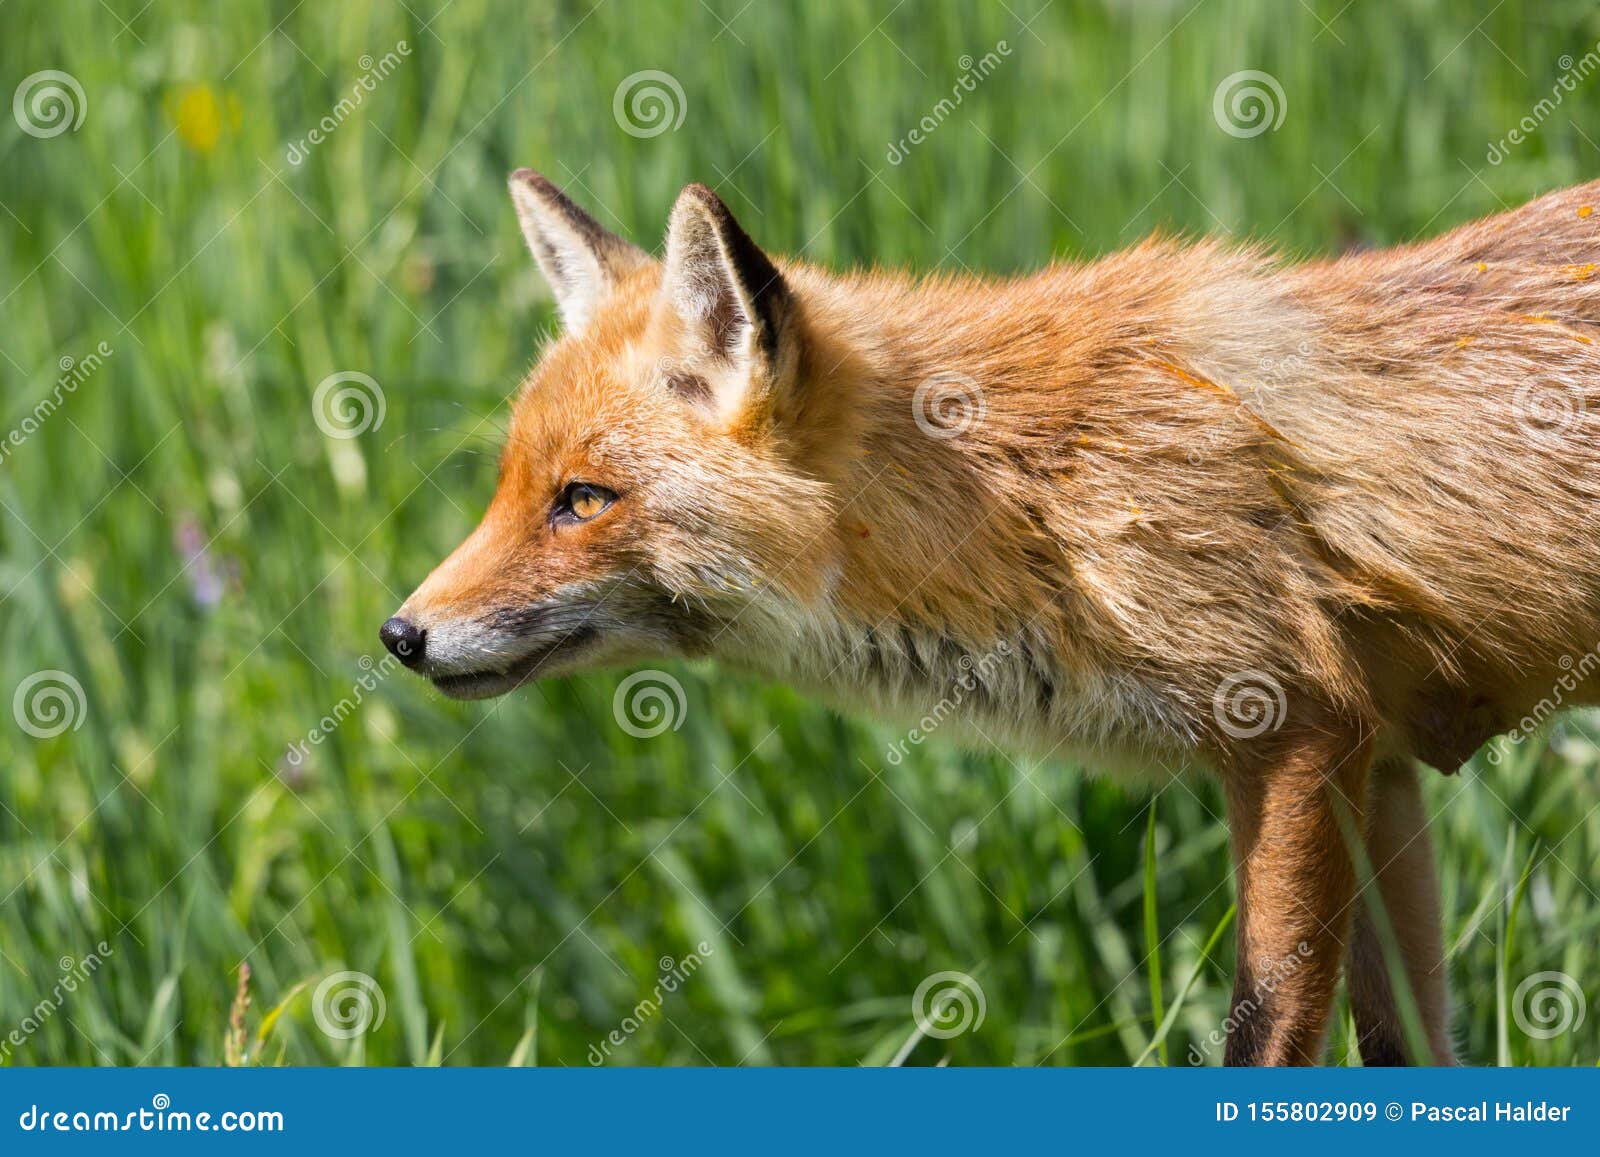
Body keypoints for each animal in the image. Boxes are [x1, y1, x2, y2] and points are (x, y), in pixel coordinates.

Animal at [382, 167, 1600, 1066]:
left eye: (583, 500)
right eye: (508, 486)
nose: (401, 635)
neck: (1031, 499)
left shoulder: (1297, 731)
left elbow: (1262, 1035)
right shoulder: (1381, 766)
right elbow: (1407, 1048)